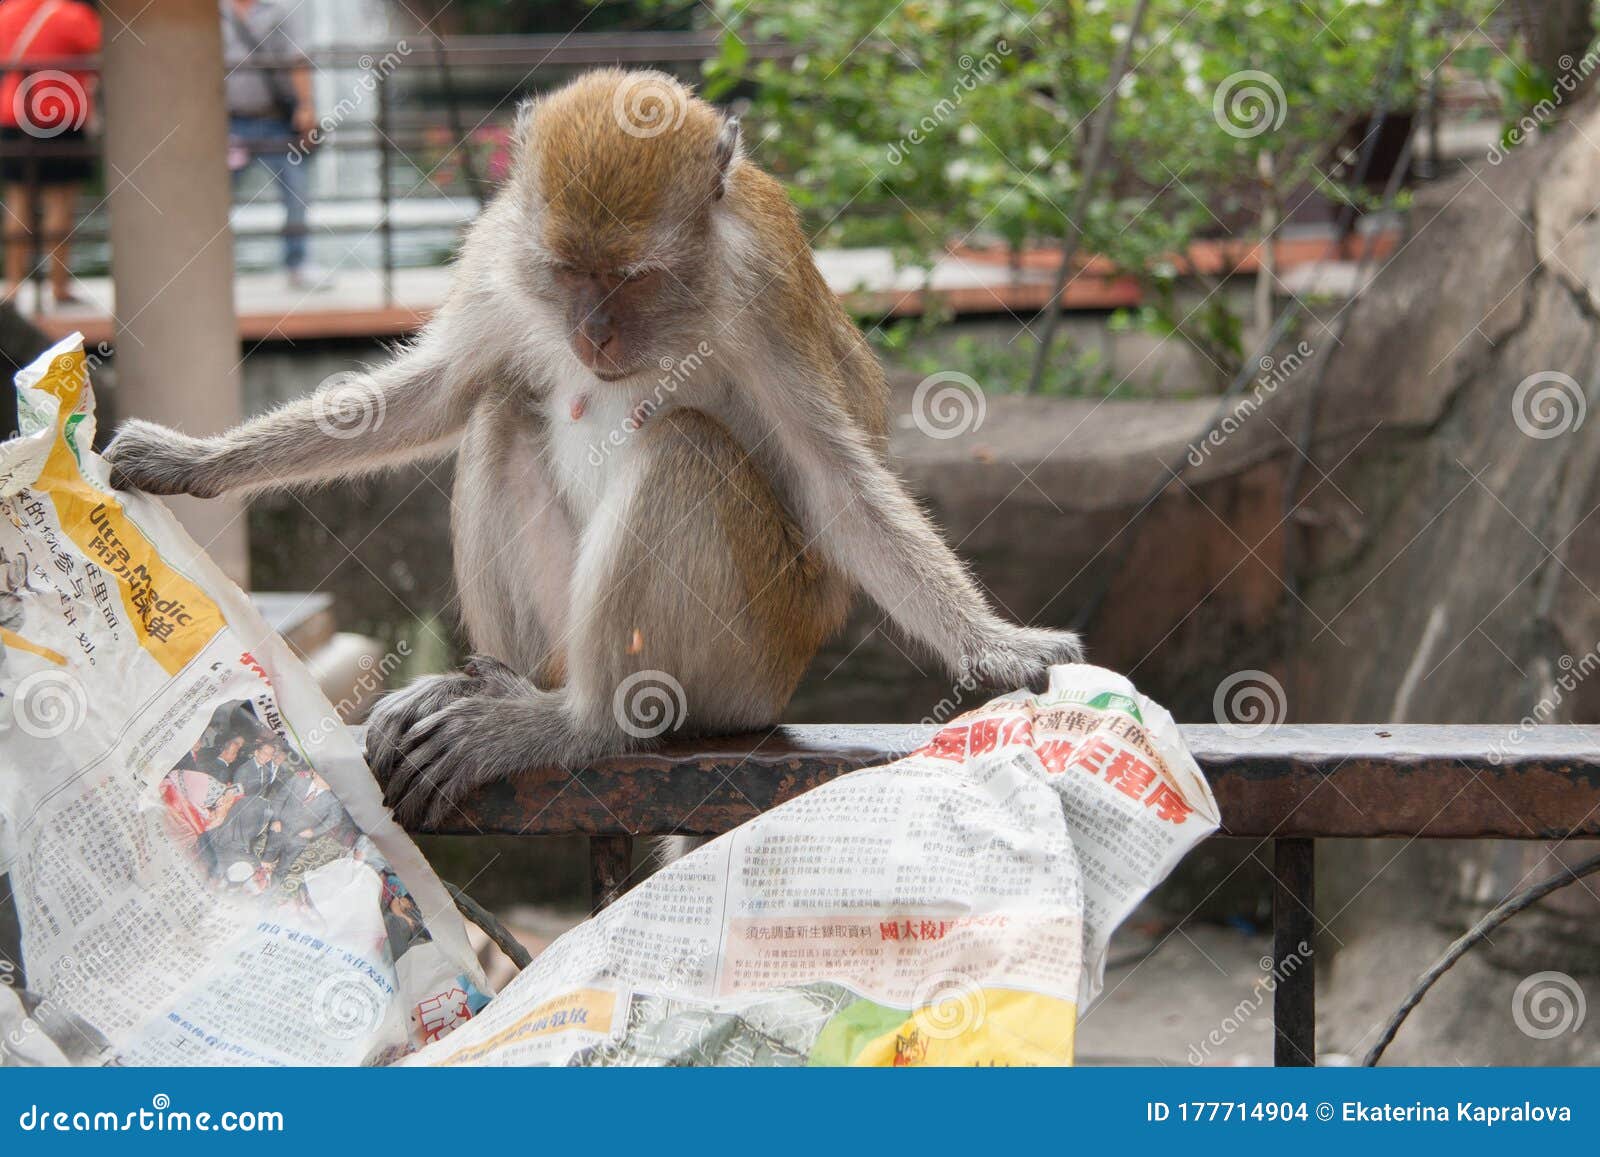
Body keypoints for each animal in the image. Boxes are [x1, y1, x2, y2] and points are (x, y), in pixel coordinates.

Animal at [104, 69, 1083, 828]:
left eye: (633, 277)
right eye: (570, 271)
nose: (593, 335)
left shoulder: (760, 290)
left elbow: (828, 476)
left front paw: (1000, 646)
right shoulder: (500, 247)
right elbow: (441, 390)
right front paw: (195, 460)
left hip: (745, 666)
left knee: (682, 450)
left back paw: (581, 725)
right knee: (504, 406)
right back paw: (497, 682)